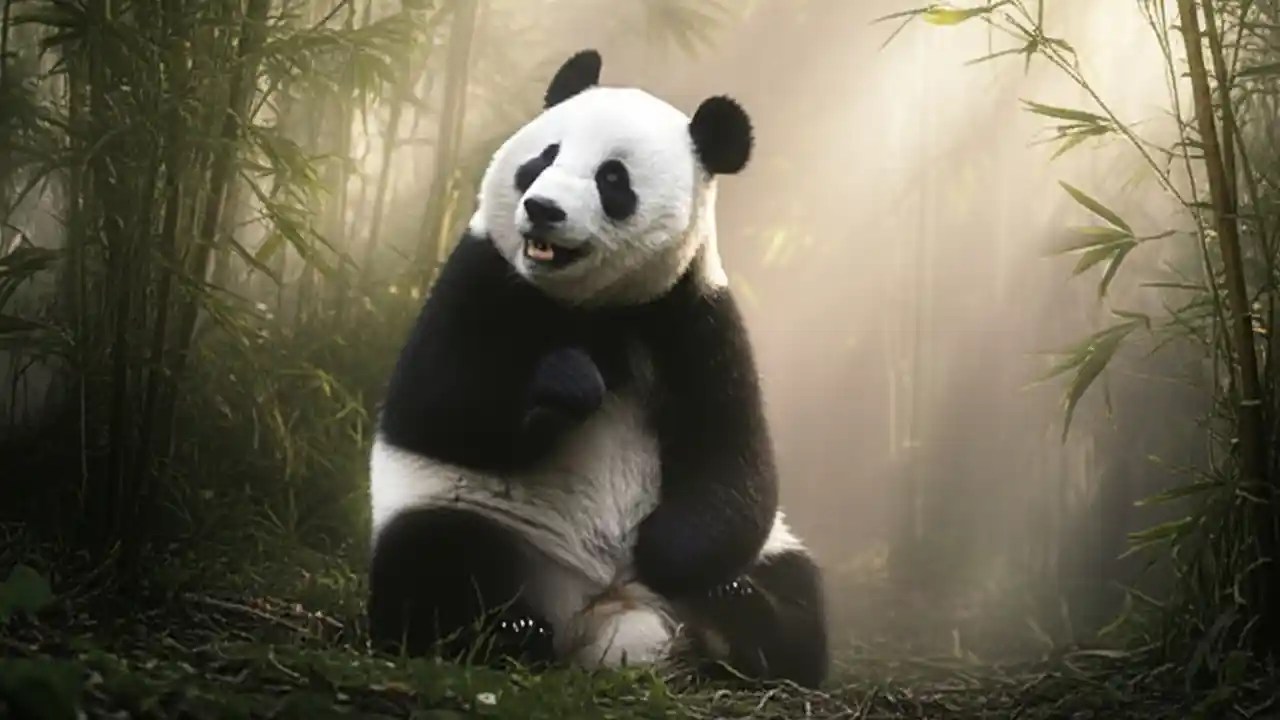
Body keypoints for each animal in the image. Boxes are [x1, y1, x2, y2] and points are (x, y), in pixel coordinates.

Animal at [367, 48, 829, 688]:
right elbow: (433, 404)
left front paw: (661, 551)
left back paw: (741, 623)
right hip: (477, 518)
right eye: (544, 156)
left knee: (795, 592)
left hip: (772, 550)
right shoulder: (478, 275)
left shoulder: (694, 314)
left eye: (613, 179)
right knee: (432, 561)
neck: (592, 307)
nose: (542, 209)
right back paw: (508, 631)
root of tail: (601, 617)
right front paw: (568, 382)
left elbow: (734, 454)